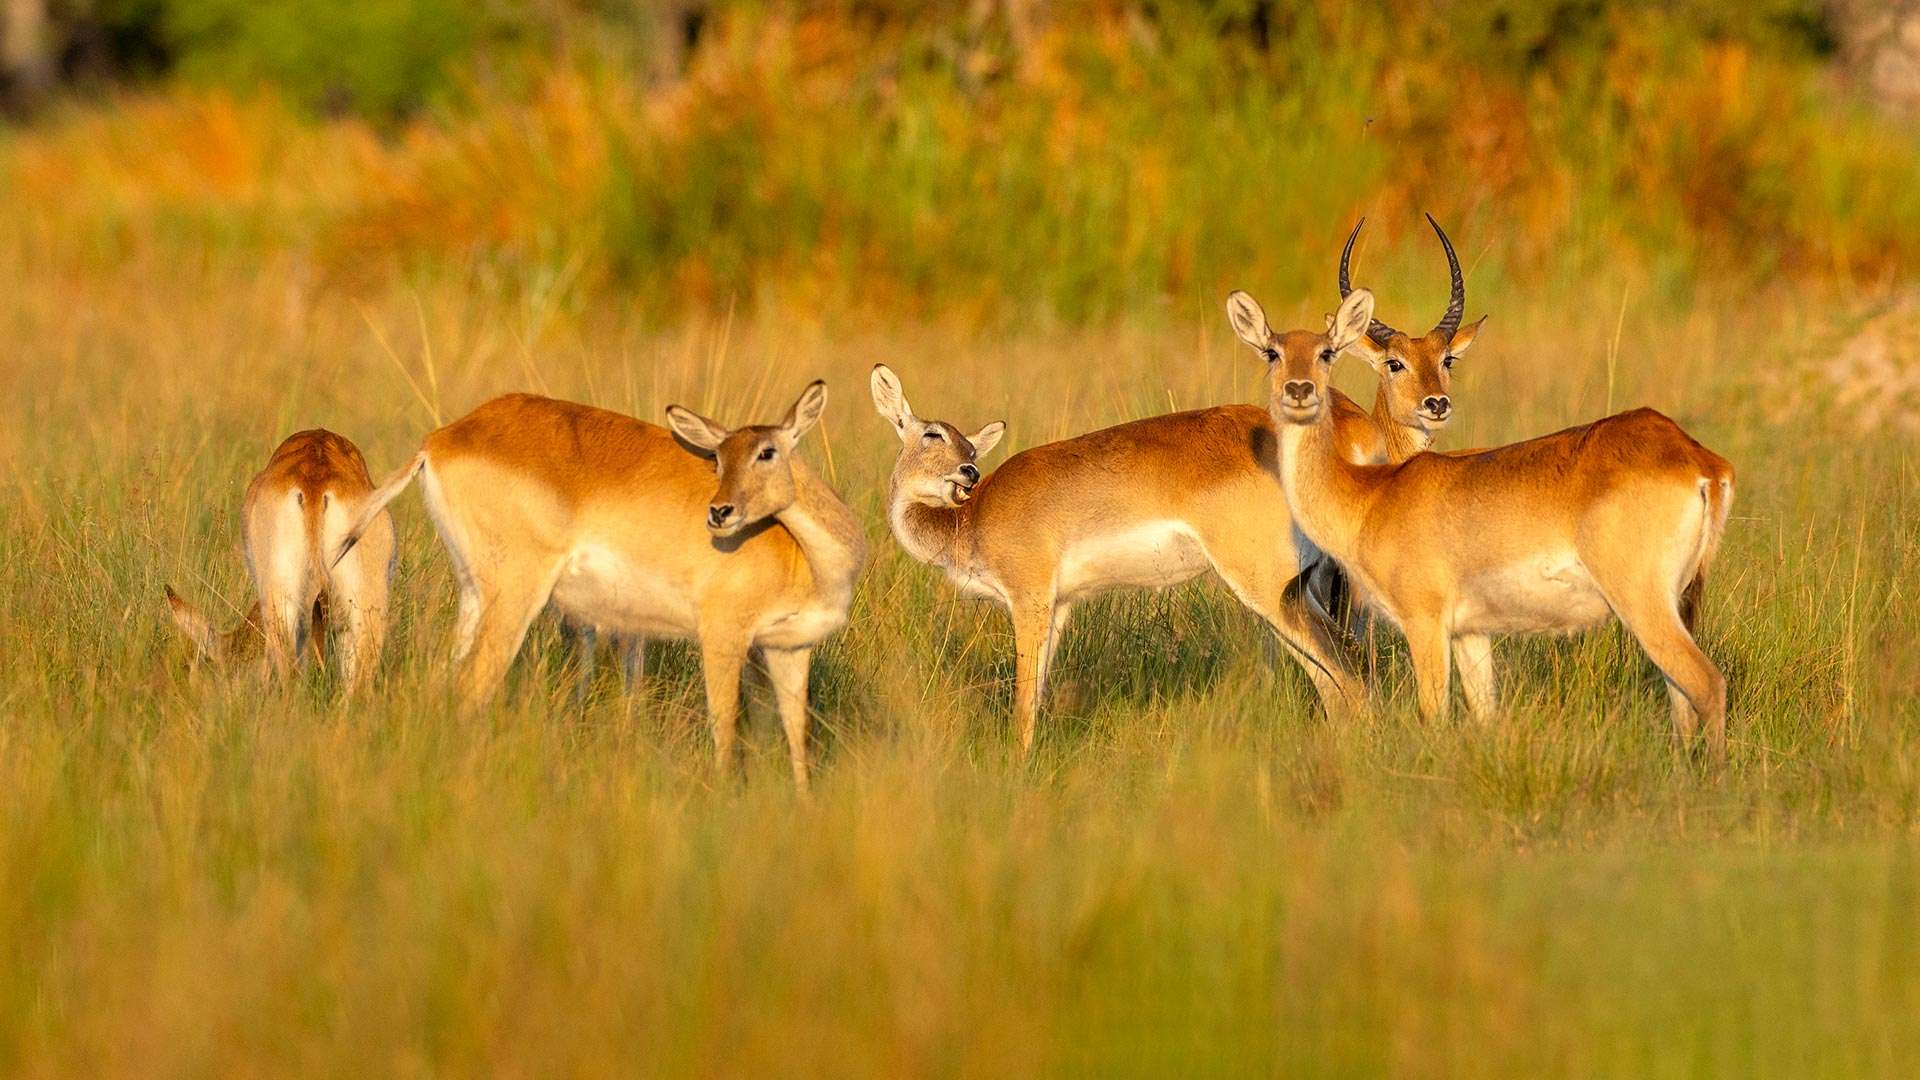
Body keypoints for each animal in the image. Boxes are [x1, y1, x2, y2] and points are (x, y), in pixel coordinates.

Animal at [337, 384, 864, 788]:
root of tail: (441, 440)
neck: (800, 555)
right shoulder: (722, 636)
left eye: (766, 451)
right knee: (471, 688)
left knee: (441, 683)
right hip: (516, 596)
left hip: (474, 591)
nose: (719, 513)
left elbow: (797, 740)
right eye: (716, 457)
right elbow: (725, 728)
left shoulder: (788, 649)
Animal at [870, 364, 1367, 751]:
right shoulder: (1059, 608)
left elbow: (1024, 703)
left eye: (969, 447)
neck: (971, 518)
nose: (969, 471)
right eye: (933, 433)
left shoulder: (1028, 599)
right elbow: (1039, 693)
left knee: (1347, 671)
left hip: (1268, 585)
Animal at [1229, 287, 1735, 759]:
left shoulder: (1425, 624)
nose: (1299, 391)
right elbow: (1485, 714)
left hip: (1643, 604)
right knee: (1681, 697)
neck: (1372, 495)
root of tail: (1699, 461)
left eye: (1326, 352)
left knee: (1706, 683)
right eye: (1273, 351)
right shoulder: (1471, 634)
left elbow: (1433, 716)